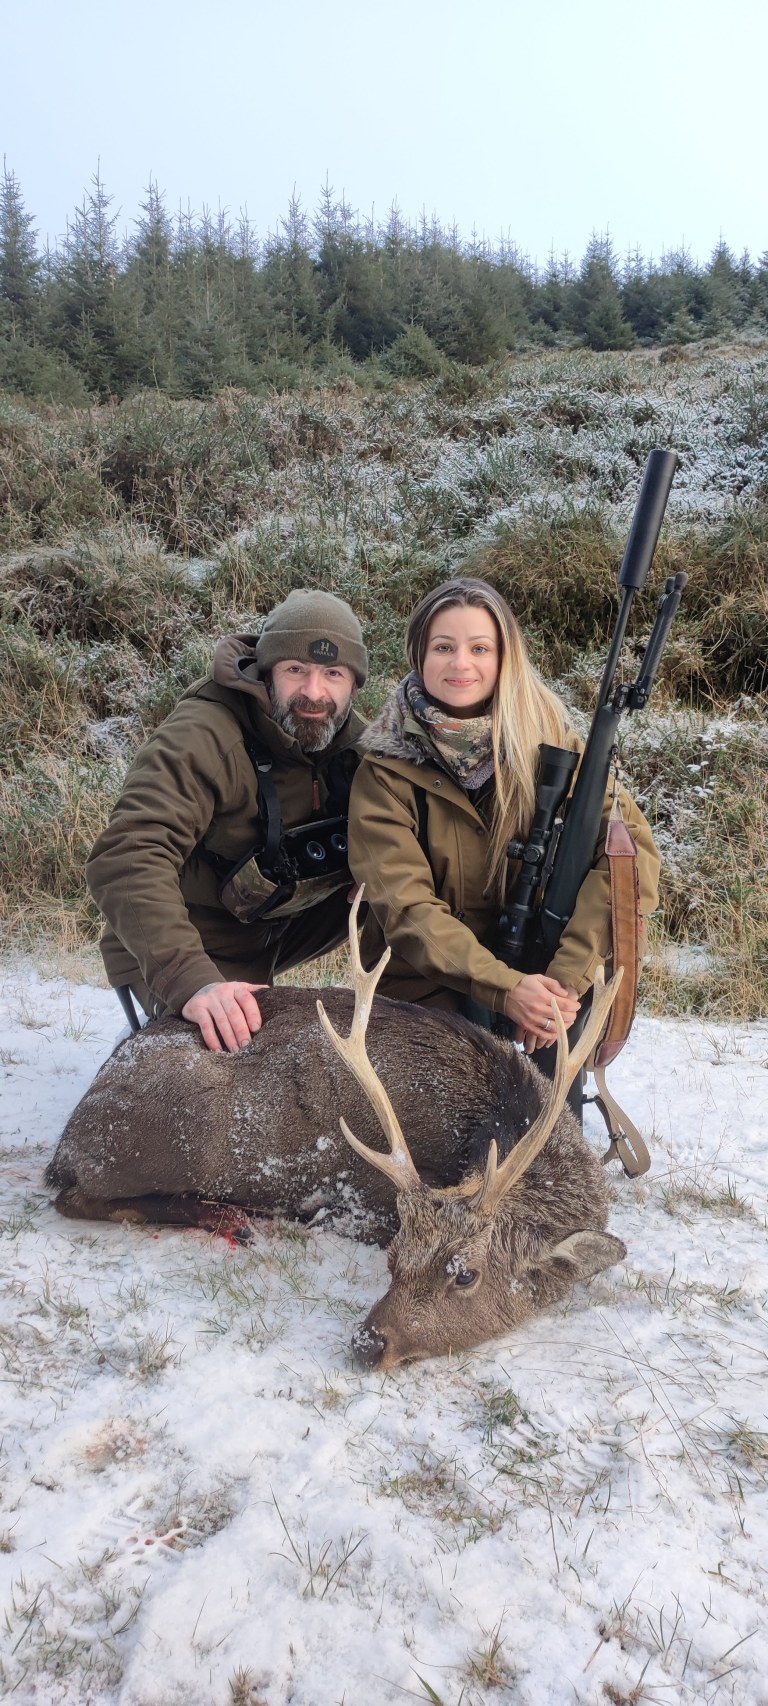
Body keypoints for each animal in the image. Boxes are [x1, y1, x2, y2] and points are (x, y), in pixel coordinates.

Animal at [47, 892, 626, 1368]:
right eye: (394, 1261)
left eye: (465, 1274)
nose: (368, 1343)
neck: (501, 1119)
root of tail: (68, 1139)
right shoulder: (358, 1200)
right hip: (162, 1143)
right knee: (75, 1197)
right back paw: (224, 1216)